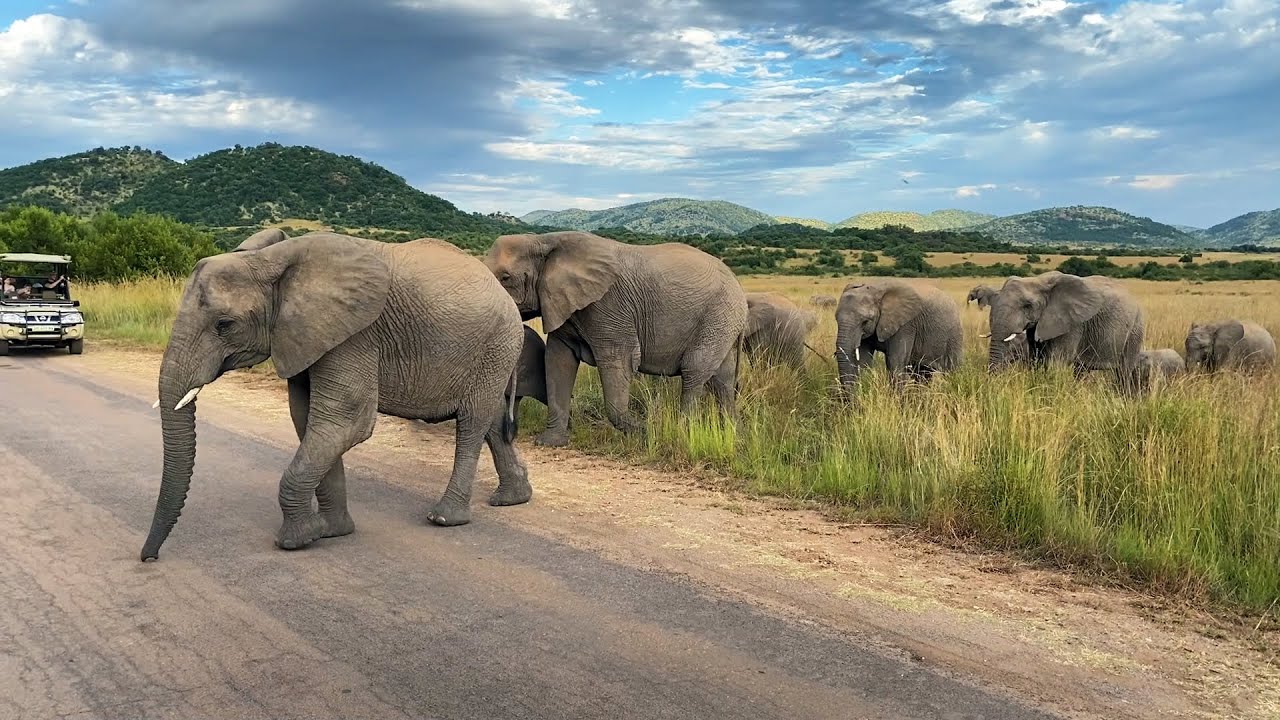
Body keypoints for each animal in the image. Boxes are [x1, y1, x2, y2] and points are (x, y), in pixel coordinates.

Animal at [140, 229, 532, 561]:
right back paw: (513, 499)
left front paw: (297, 540)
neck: (271, 259)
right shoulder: (305, 335)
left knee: (472, 423)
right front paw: (331, 532)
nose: (149, 557)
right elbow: (307, 419)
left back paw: (445, 518)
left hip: (497, 344)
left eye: (225, 325)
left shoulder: (356, 335)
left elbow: (346, 421)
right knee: (493, 423)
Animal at [484, 230, 749, 447]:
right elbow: (558, 361)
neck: (543, 240)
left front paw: (646, 433)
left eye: (505, 278)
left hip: (718, 315)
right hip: (722, 322)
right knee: (722, 380)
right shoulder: (563, 304)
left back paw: (682, 433)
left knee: (695, 371)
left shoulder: (608, 307)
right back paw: (734, 433)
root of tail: (737, 284)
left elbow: (618, 361)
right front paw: (550, 442)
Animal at [834, 279, 962, 390]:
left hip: (954, 334)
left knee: (952, 369)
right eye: (836, 319)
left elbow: (894, 362)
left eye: (865, 321)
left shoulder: (906, 326)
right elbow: (863, 361)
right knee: (922, 374)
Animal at [986, 271, 1143, 390]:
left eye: (1027, 305)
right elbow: (1037, 359)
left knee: (1123, 371)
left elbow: (1057, 362)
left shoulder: (1072, 323)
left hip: (1135, 329)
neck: (1040, 280)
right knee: (1081, 369)